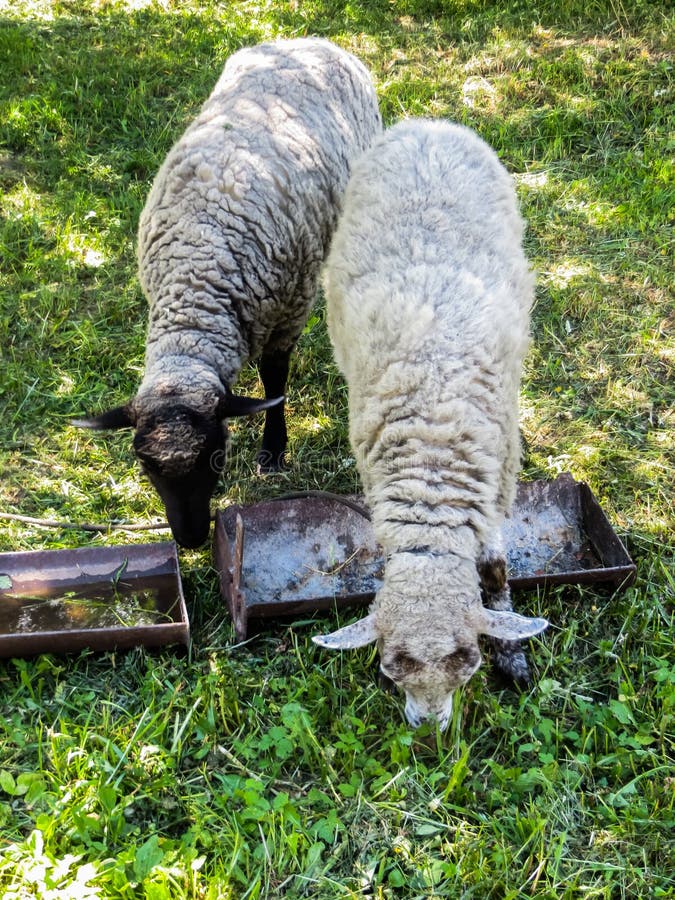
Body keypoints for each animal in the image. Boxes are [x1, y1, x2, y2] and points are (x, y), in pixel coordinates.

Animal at [74, 38, 382, 549]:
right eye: (144, 465)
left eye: (216, 456)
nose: (191, 539)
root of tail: (307, 39)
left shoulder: (288, 307)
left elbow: (274, 379)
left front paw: (273, 451)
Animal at [313, 118, 548, 729]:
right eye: (389, 669)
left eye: (468, 666)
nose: (431, 731)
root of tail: (428, 124)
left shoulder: (496, 489)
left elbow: (495, 572)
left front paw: (513, 659)